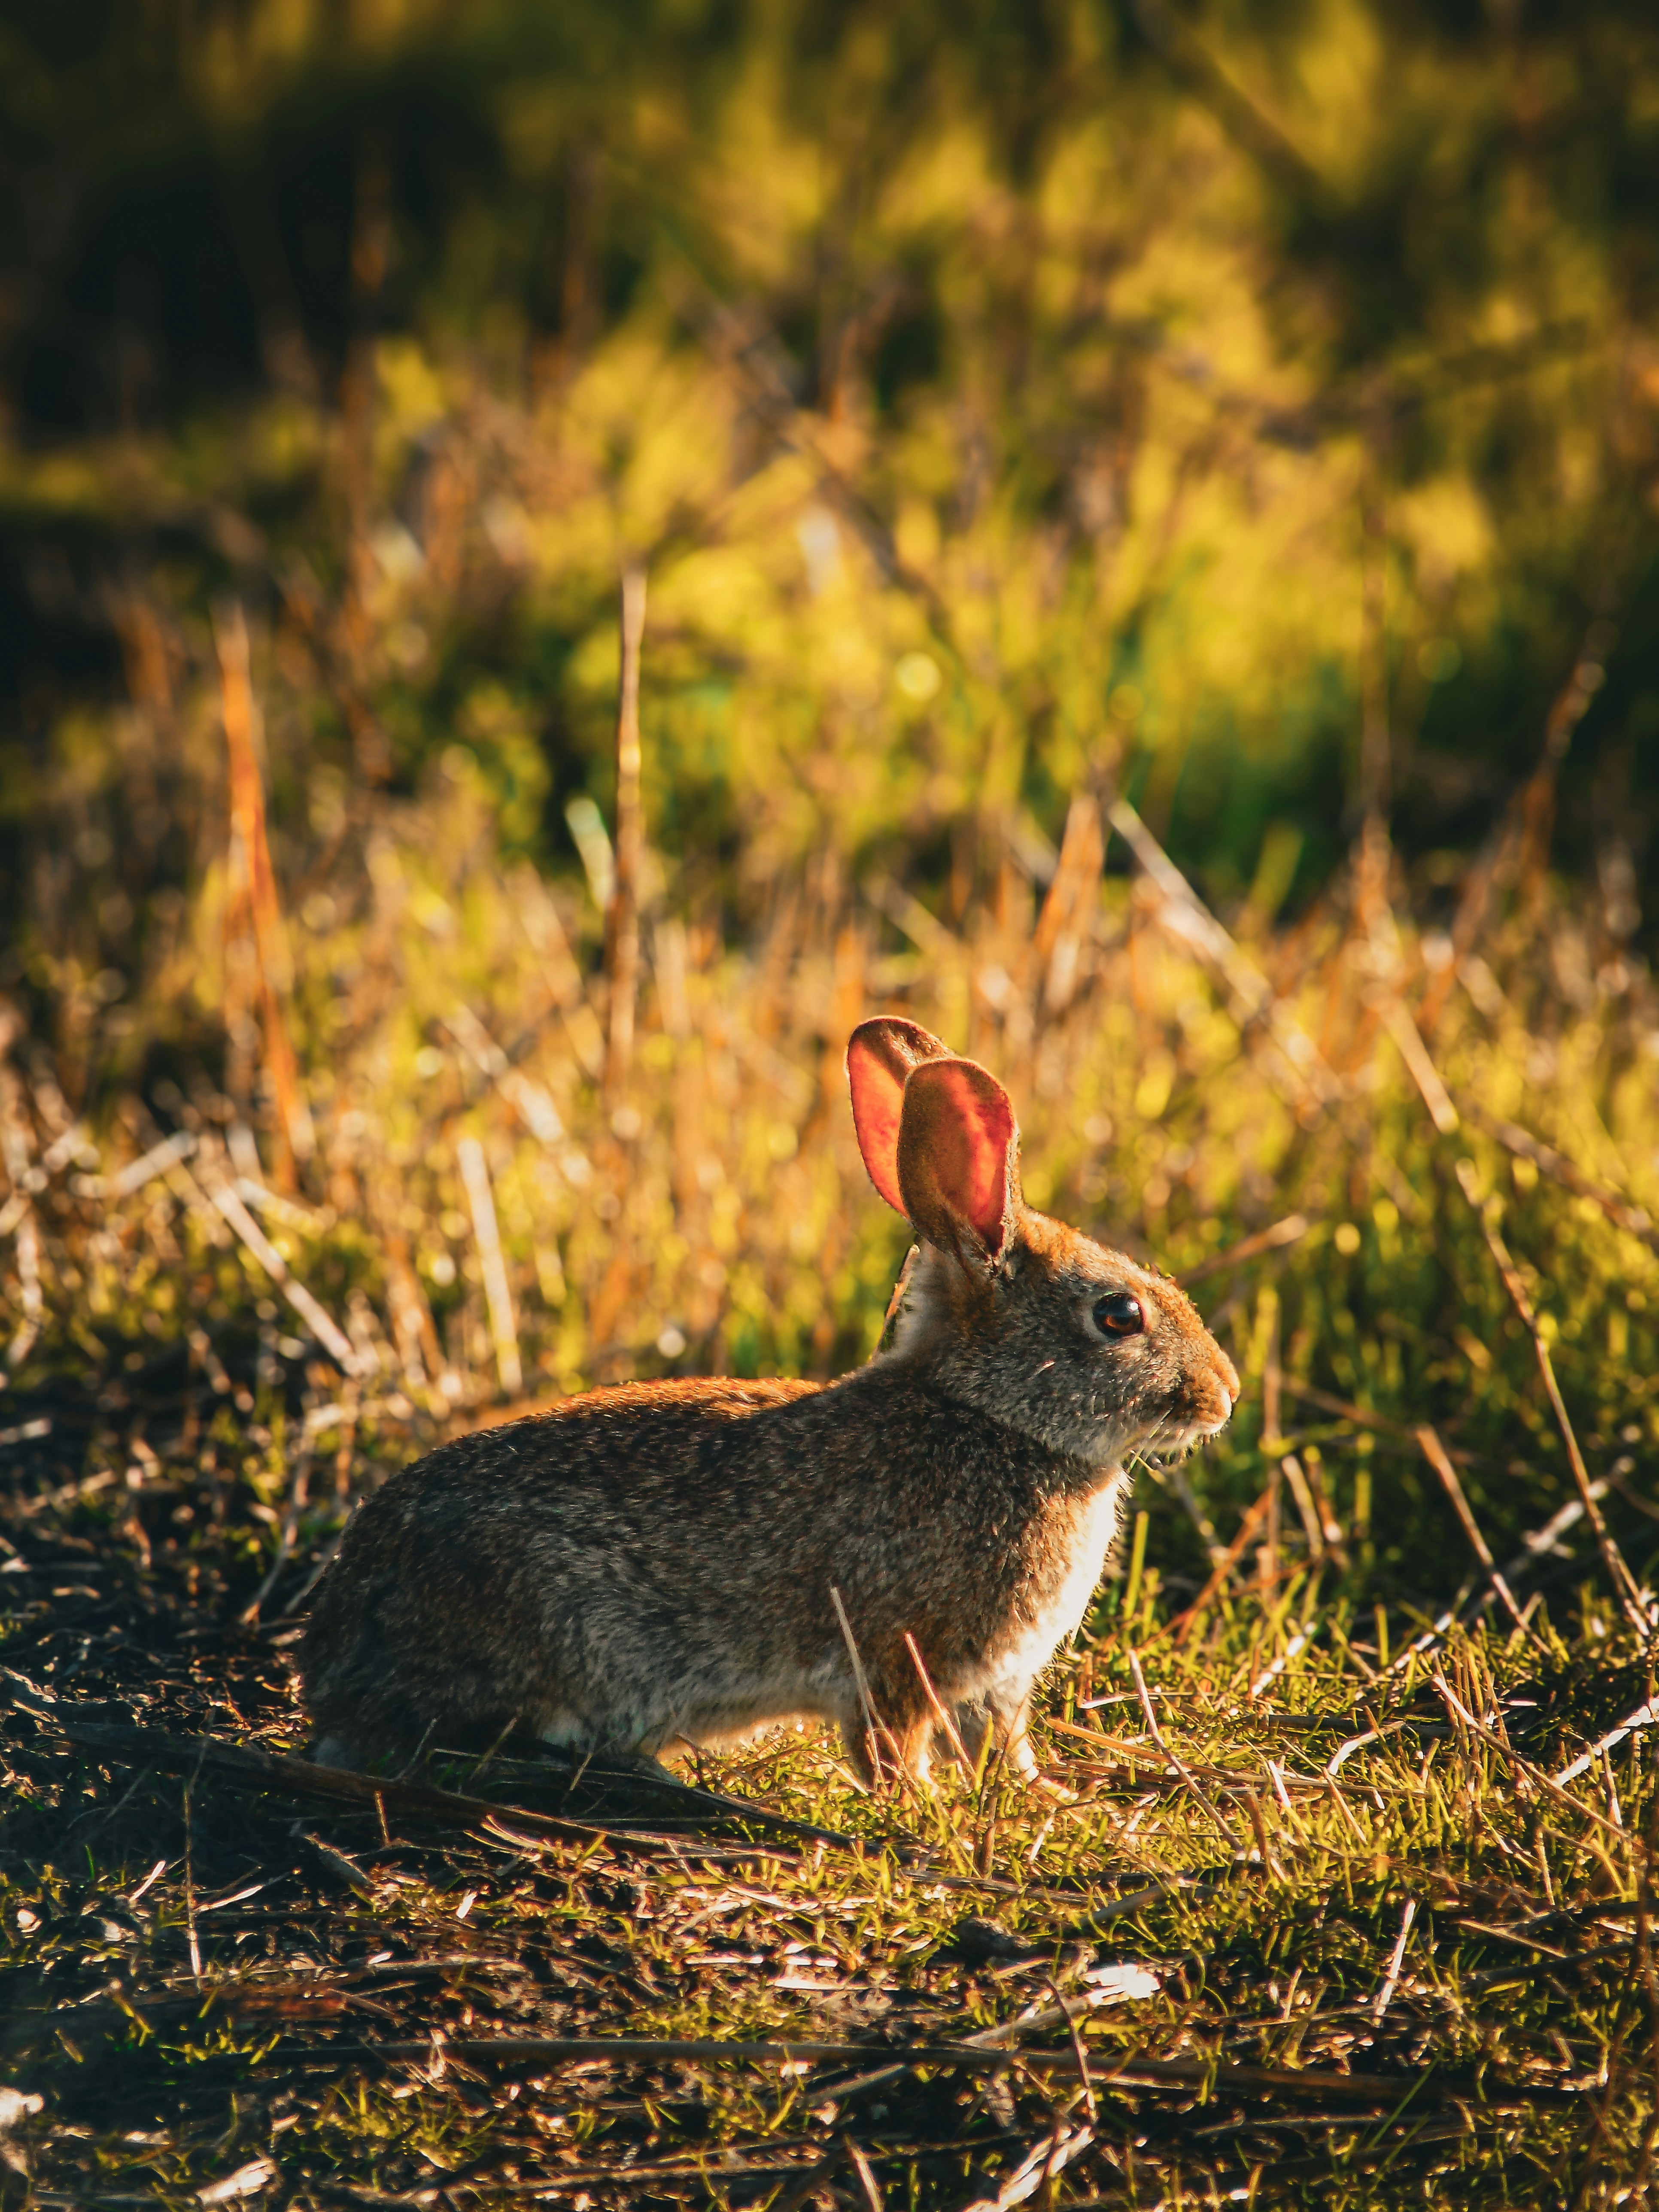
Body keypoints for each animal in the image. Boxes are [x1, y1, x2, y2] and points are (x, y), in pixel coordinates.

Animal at [300, 1016, 1240, 1789]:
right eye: (1118, 1315)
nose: (1224, 1394)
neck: (990, 1416)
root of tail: (333, 1655)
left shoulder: (998, 1681)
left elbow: (1005, 1748)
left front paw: (1041, 1798)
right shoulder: (900, 1655)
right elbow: (892, 1744)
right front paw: (923, 1809)